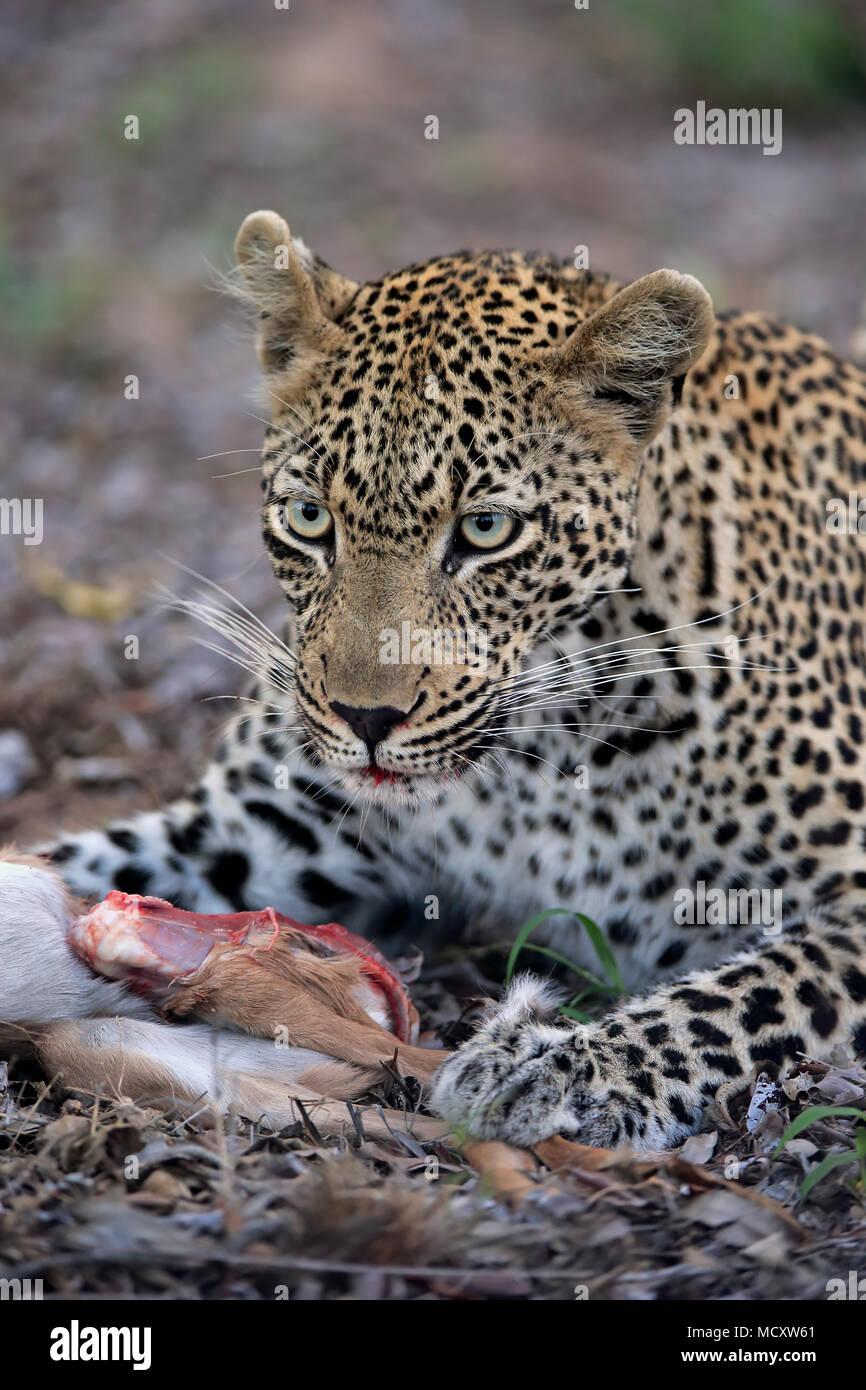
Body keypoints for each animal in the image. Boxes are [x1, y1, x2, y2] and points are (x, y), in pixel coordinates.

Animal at [8, 205, 866, 1156]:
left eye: (487, 530)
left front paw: (561, 1070)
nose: (364, 718)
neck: (537, 756)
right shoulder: (246, 830)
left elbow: (743, 997)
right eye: (309, 517)